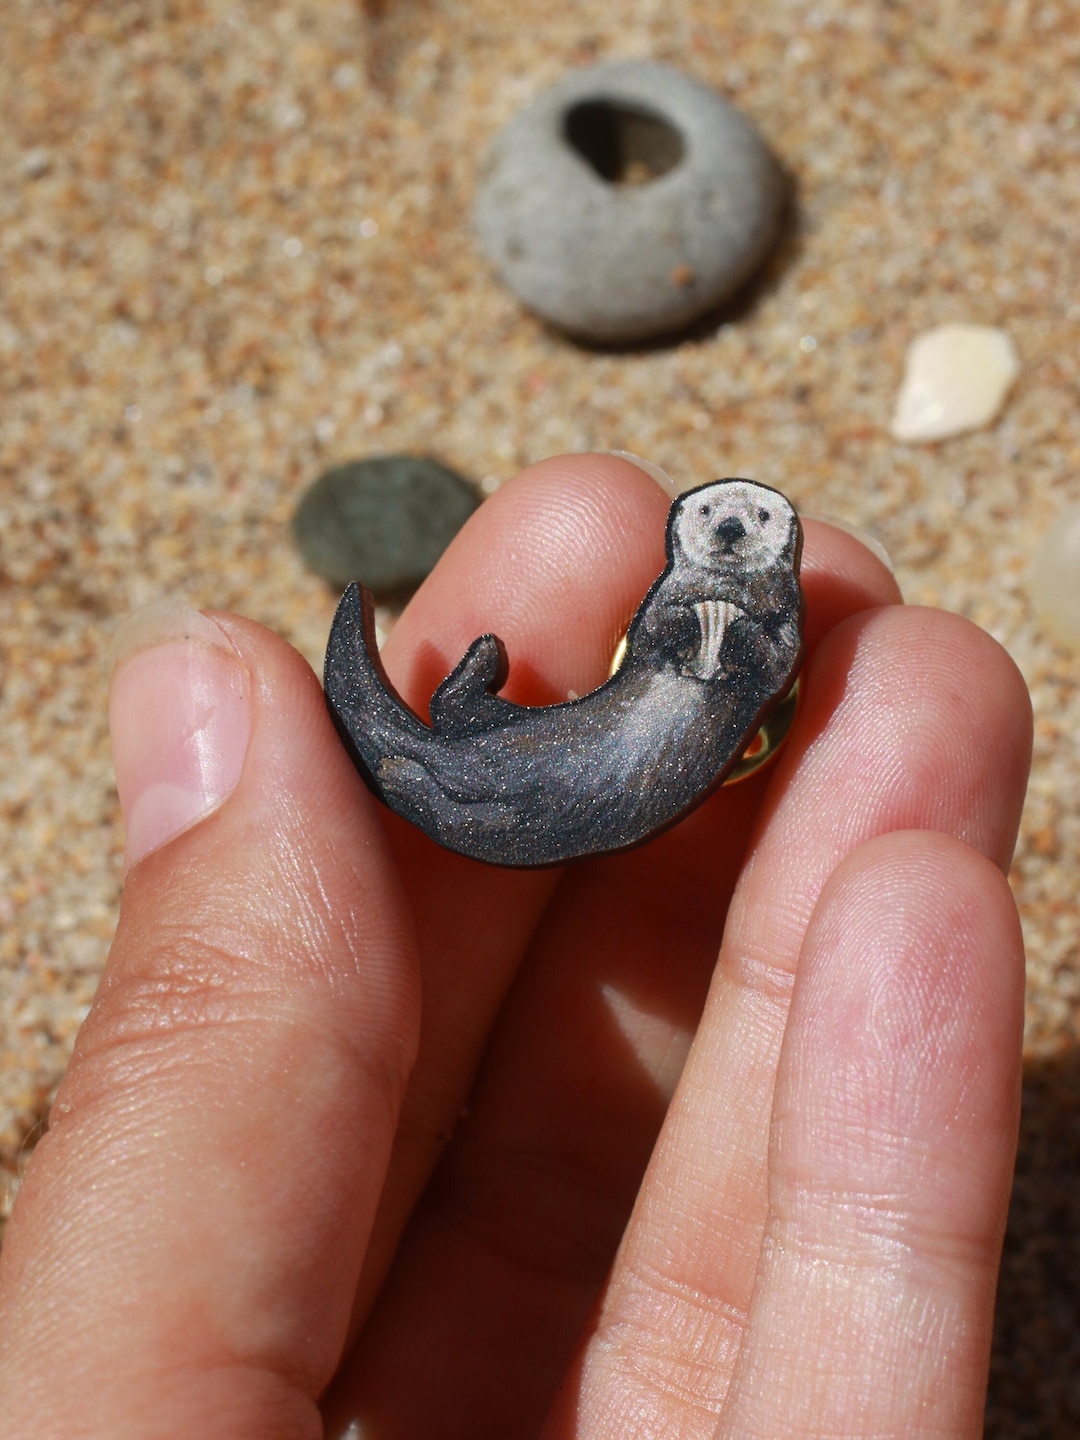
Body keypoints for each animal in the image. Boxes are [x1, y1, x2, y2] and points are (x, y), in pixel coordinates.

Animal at [323, 479, 803, 867]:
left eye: (761, 515)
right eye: (707, 509)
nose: (731, 527)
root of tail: (466, 759)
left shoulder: (789, 627)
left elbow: (774, 662)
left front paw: (737, 625)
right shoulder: (656, 606)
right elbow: (653, 627)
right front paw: (691, 617)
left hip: (522, 816)